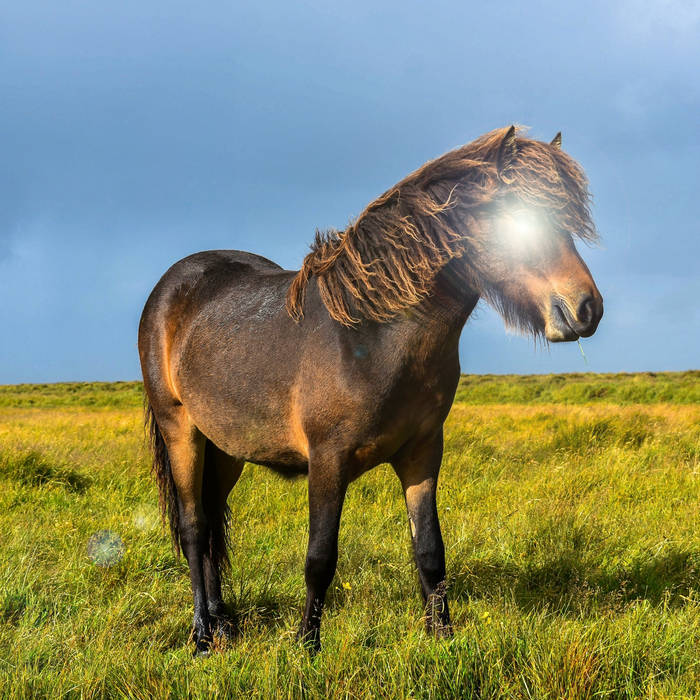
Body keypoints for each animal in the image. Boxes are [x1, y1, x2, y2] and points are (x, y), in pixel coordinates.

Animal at [138, 126, 603, 655]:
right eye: (519, 219)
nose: (587, 308)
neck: (375, 335)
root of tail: (172, 286)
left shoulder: (422, 453)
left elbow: (430, 550)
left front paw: (442, 637)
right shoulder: (328, 461)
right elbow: (320, 556)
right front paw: (307, 645)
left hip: (226, 448)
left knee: (214, 520)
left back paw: (223, 623)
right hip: (181, 430)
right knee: (195, 527)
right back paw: (201, 634)